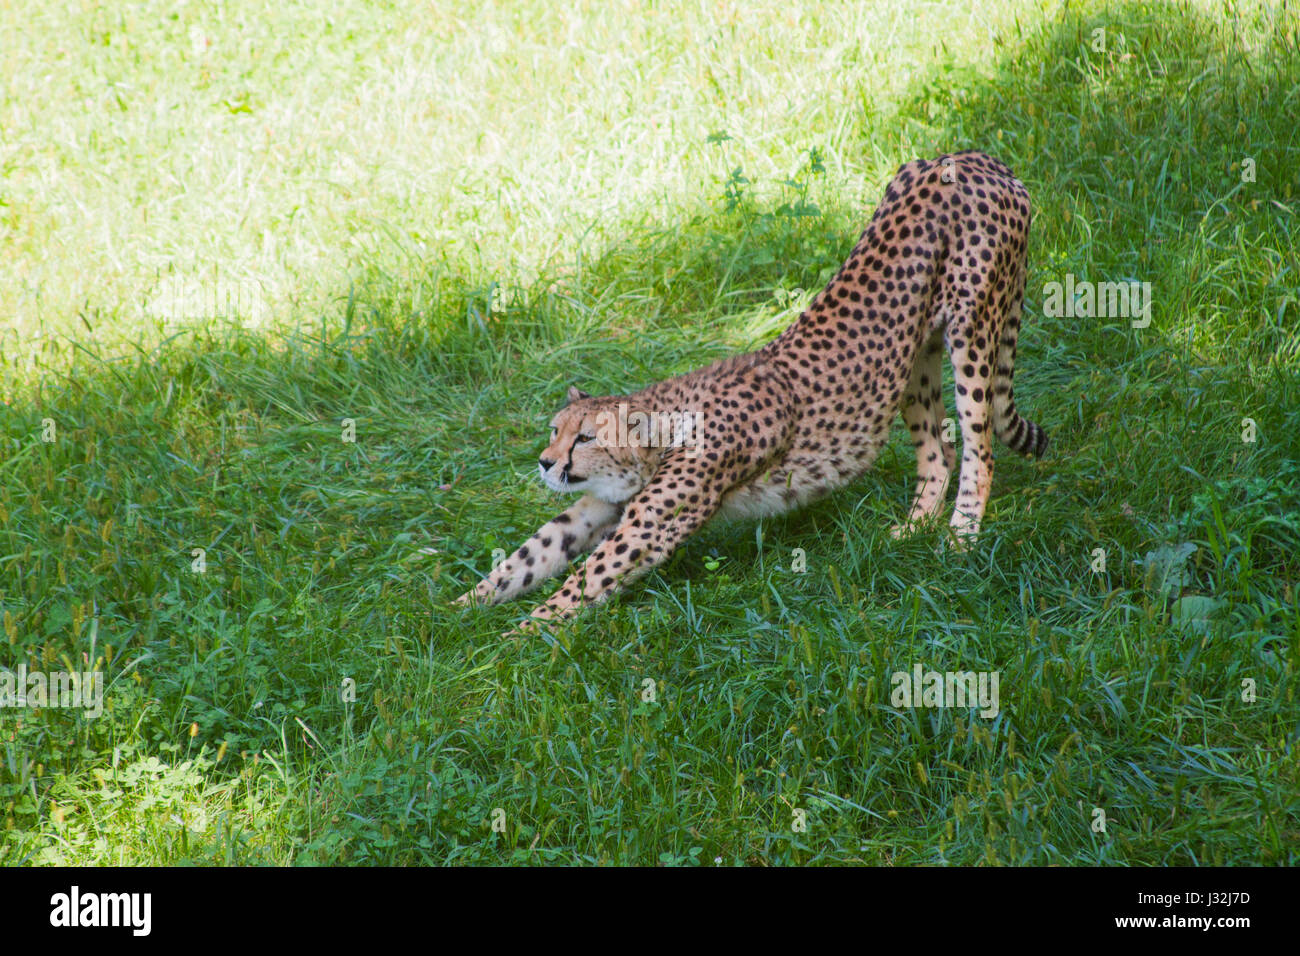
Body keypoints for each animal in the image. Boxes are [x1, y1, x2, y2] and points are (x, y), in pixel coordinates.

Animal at [455, 150, 1048, 633]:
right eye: (556, 431)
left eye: (585, 439)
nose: (545, 462)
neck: (665, 424)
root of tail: (978, 157)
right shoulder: (597, 506)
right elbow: (529, 555)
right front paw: (456, 613)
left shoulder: (648, 525)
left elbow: (582, 582)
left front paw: (516, 641)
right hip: (916, 355)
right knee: (937, 449)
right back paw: (911, 530)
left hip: (973, 329)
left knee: (978, 447)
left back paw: (960, 538)